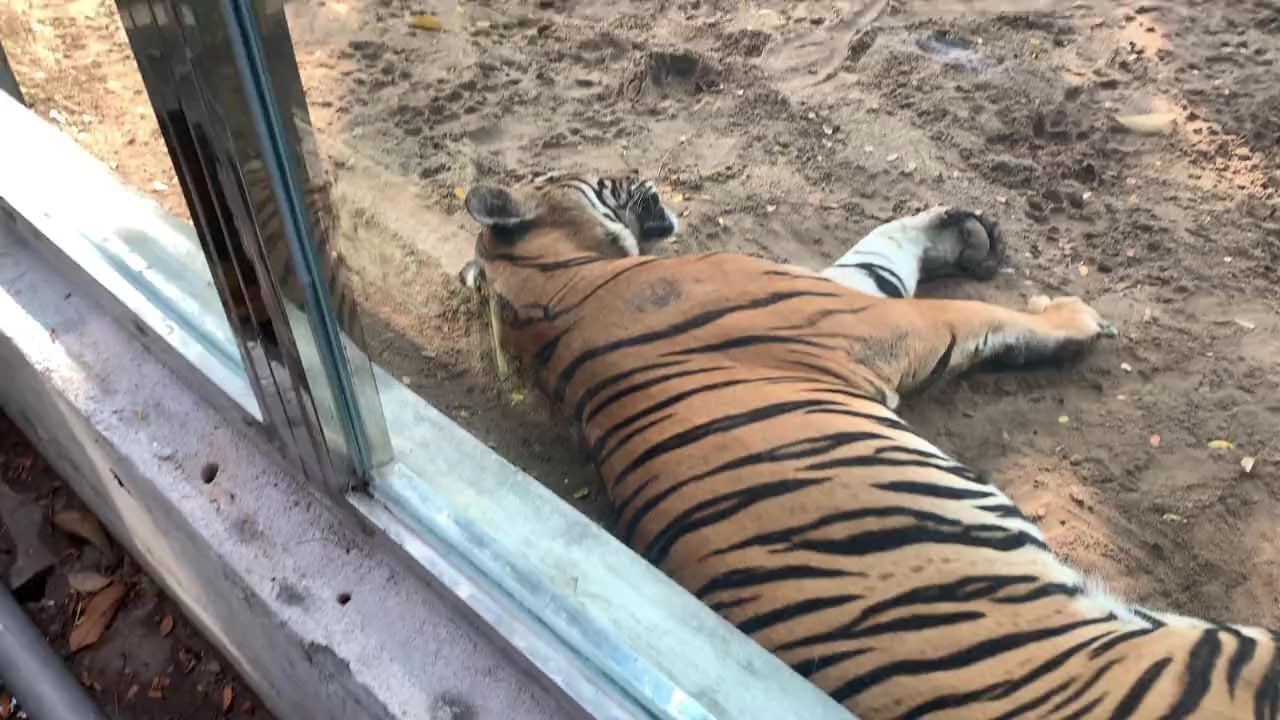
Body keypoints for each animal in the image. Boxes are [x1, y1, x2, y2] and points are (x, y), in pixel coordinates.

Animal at [458, 175, 1280, 719]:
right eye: (597, 180)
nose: (647, 181)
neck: (549, 286)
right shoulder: (863, 322)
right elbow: (975, 315)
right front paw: (1070, 317)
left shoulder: (845, 291)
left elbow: (880, 248)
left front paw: (954, 226)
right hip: (1220, 659)